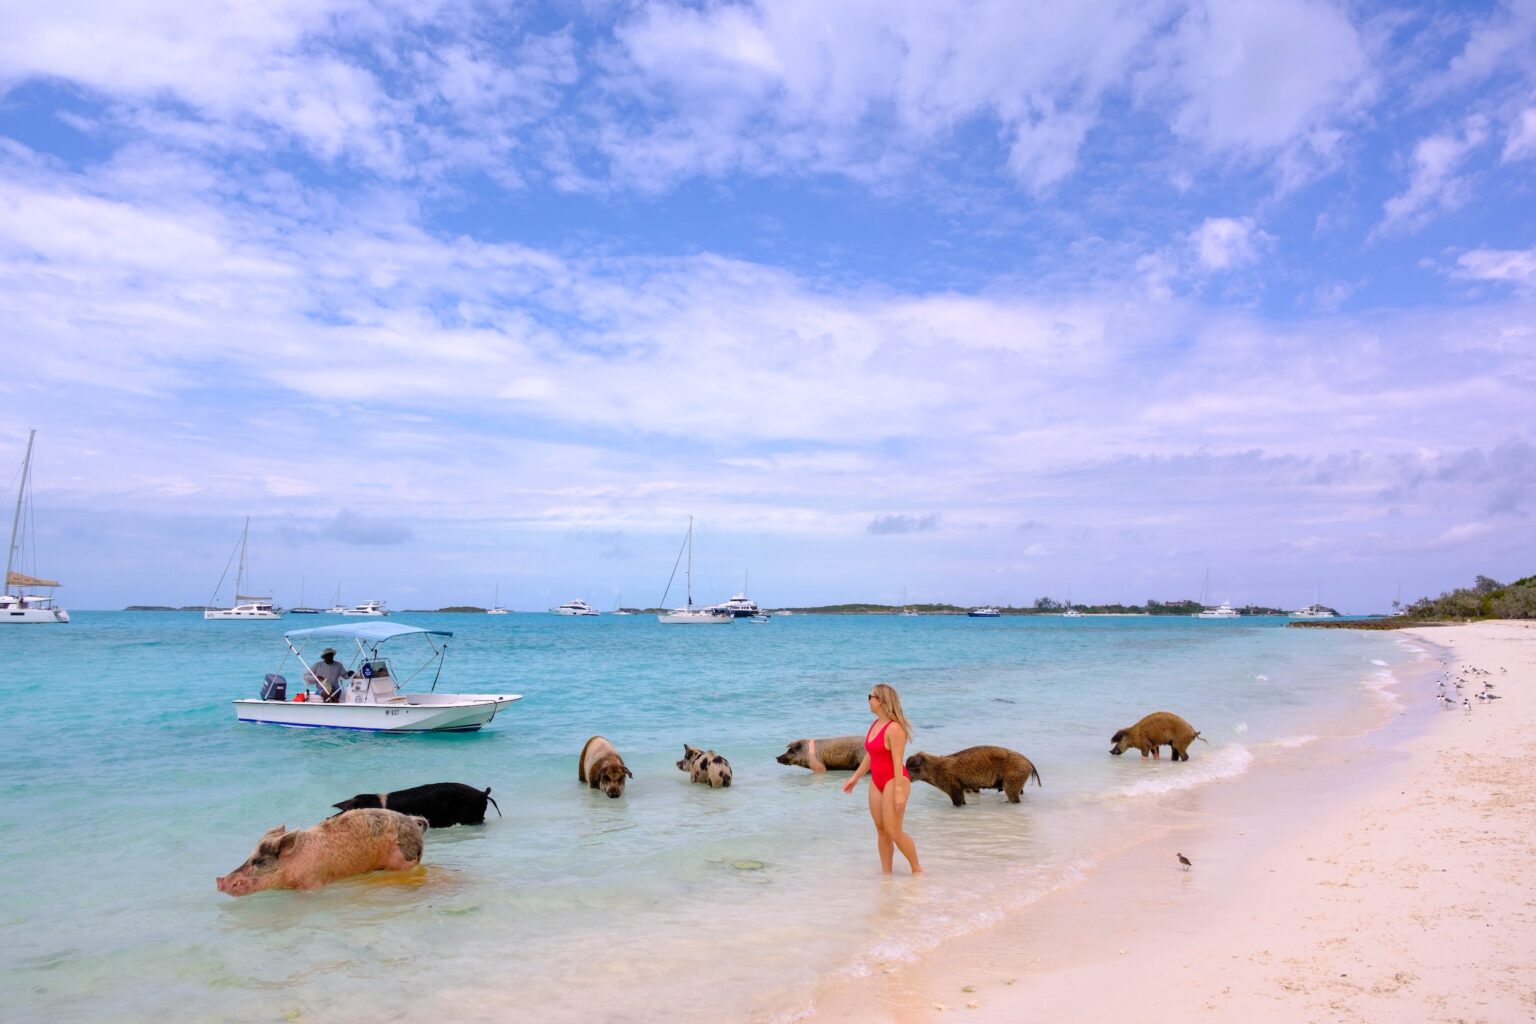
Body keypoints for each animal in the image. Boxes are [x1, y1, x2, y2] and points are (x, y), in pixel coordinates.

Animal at [216, 809, 427, 896]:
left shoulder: (313, 881)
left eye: (259, 861)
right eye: (249, 857)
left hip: (403, 860)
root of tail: (414, 823)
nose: (219, 880)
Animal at [905, 746, 1042, 806]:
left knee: (1013, 795)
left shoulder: (951, 784)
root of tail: (1028, 762)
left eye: (909, 767)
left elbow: (958, 800)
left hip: (1014, 777)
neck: (934, 767)